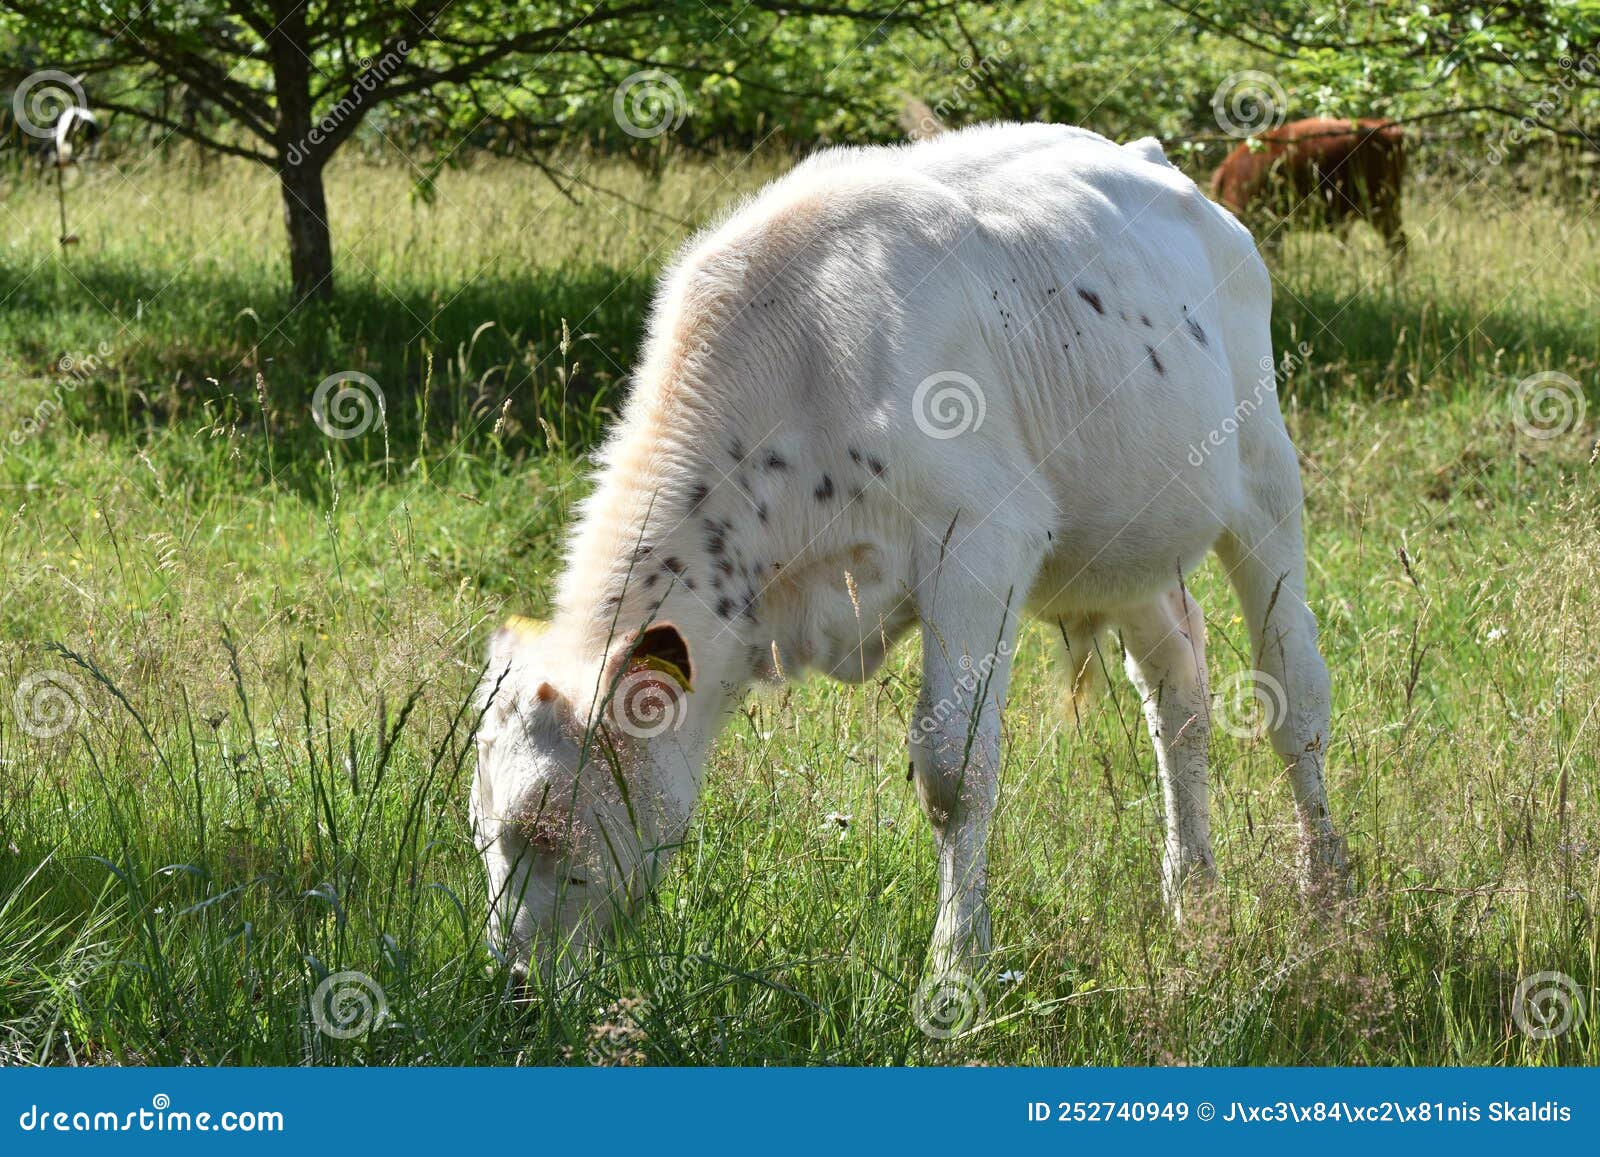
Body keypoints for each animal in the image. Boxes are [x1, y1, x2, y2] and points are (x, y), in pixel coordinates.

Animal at [472, 122, 1345, 986]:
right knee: (1178, 691)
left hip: (1264, 477)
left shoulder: (980, 545)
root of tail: (1153, 158)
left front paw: (956, 969)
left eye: (547, 829)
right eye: (480, 828)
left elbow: (954, 770)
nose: (515, 984)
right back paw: (1192, 890)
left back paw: (1325, 896)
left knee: (1292, 692)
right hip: (1127, 543)